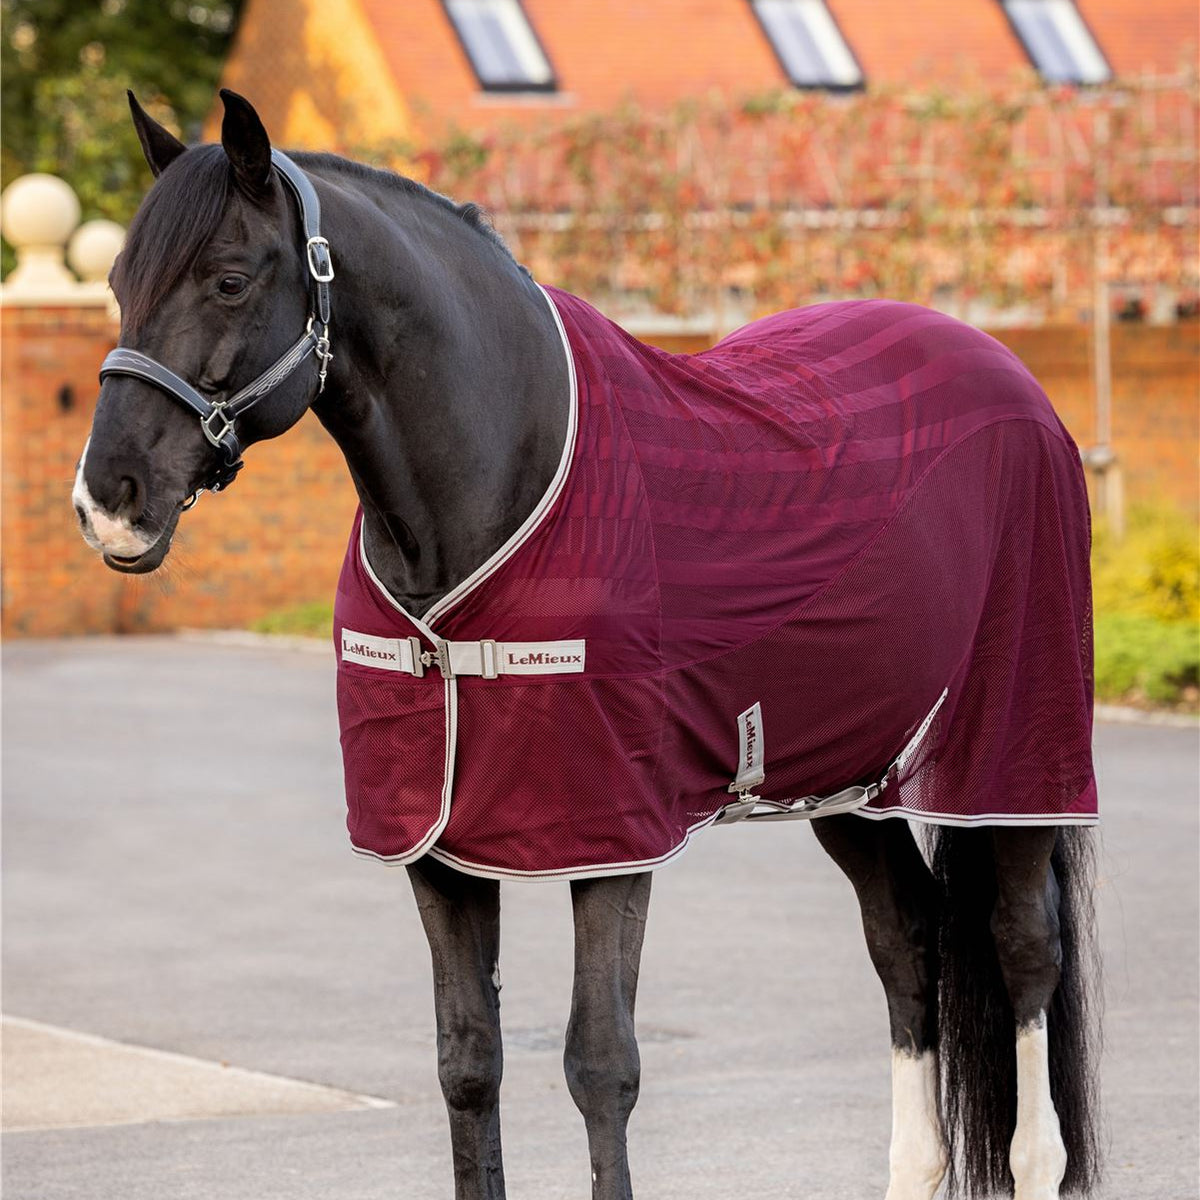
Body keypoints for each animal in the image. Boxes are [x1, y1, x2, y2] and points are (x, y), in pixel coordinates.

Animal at [73, 90, 1101, 1200]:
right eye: (119, 282)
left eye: (226, 279)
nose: (107, 503)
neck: (503, 477)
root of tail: (1008, 373)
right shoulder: (435, 848)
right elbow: (469, 1062)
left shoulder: (611, 836)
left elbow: (599, 1063)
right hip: (846, 771)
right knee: (907, 945)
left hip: (1010, 758)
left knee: (1021, 947)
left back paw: (1037, 1154)